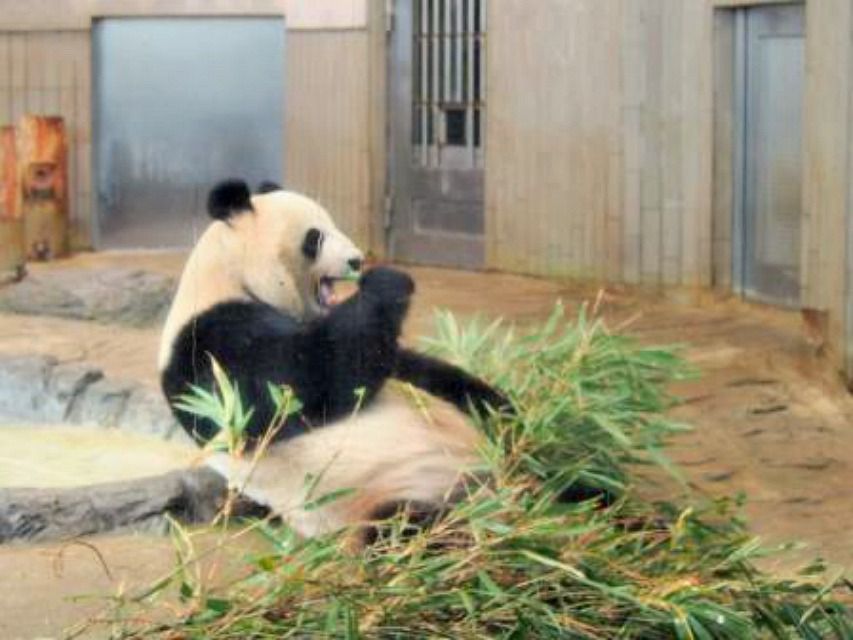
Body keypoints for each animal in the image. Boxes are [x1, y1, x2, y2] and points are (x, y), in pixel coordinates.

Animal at [158, 179, 511, 540]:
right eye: (314, 237)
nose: (357, 261)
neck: (226, 275)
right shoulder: (209, 345)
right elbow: (301, 381)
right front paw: (386, 283)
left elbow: (408, 367)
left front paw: (502, 403)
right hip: (389, 495)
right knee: (418, 531)